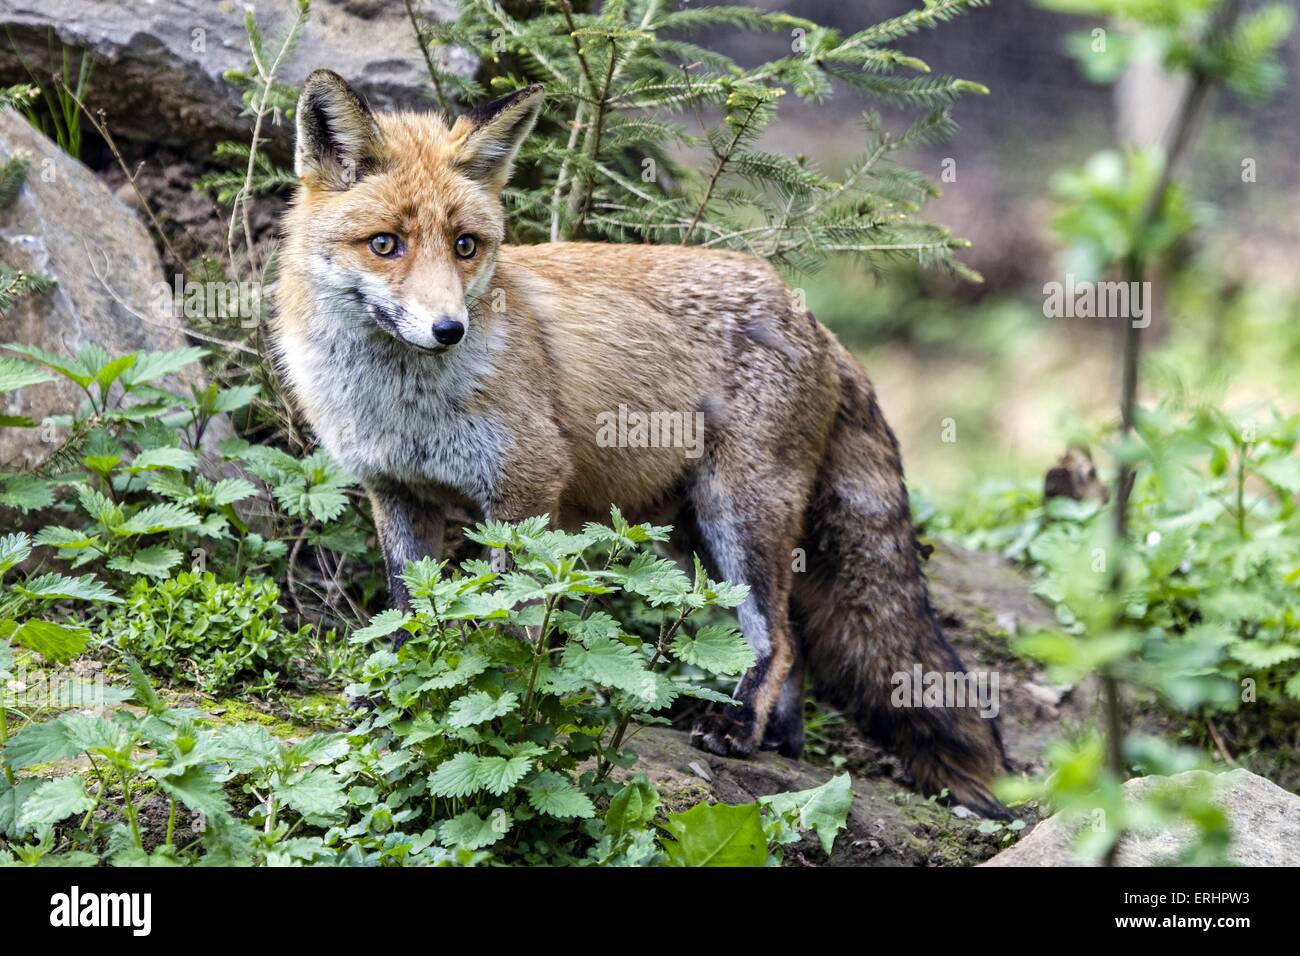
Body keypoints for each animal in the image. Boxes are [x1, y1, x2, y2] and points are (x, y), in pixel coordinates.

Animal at [274, 69, 1009, 817]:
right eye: (385, 244)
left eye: (465, 246)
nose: (449, 329)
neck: (404, 404)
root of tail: (811, 315)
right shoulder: (397, 492)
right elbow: (408, 616)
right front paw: (394, 694)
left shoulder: (527, 488)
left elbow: (507, 620)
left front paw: (493, 704)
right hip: (687, 537)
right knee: (793, 640)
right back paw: (779, 738)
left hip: (738, 516)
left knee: (776, 637)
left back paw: (738, 725)